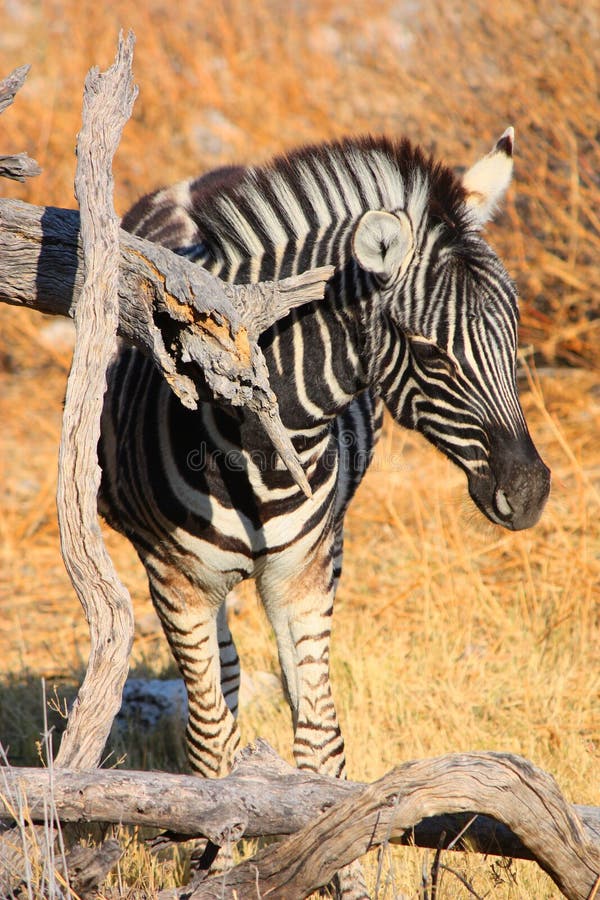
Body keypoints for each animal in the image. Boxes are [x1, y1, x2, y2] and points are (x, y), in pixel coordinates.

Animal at [99, 129, 550, 892]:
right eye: (429, 352)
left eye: (514, 336)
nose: (531, 493)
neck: (261, 447)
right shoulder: (175, 580)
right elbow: (210, 737)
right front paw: (211, 860)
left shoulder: (305, 576)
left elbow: (321, 739)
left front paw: (339, 869)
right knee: (219, 691)